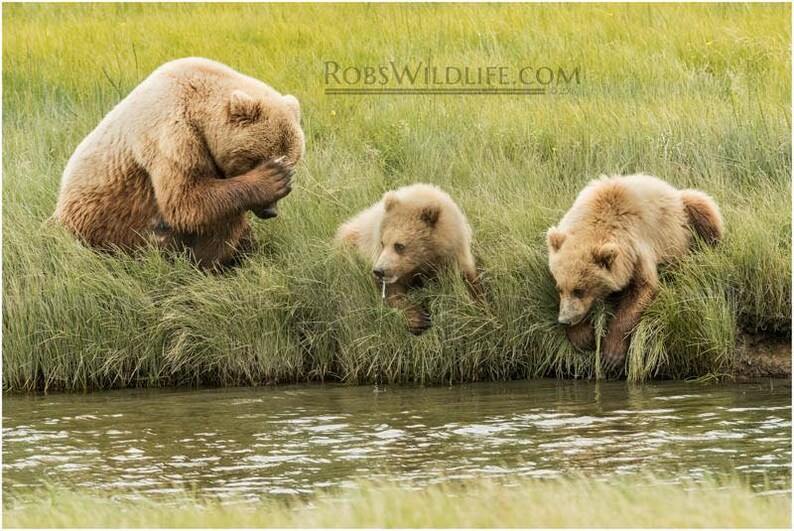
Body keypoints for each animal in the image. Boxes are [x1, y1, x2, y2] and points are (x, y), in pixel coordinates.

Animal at [53, 57, 305, 270]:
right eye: (257, 159)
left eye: (293, 162)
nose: (270, 210)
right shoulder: (173, 137)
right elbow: (185, 200)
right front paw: (272, 179)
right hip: (108, 226)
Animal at [335, 183, 482, 335]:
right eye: (383, 243)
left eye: (399, 246)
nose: (379, 271)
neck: (424, 261)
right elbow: (391, 292)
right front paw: (419, 319)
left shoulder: (453, 255)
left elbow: (467, 280)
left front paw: (477, 303)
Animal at [546, 173, 724, 374]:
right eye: (560, 288)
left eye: (580, 290)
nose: (564, 320)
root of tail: (670, 188)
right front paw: (582, 336)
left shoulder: (637, 250)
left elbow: (642, 289)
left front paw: (611, 353)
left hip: (684, 217)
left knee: (704, 207)